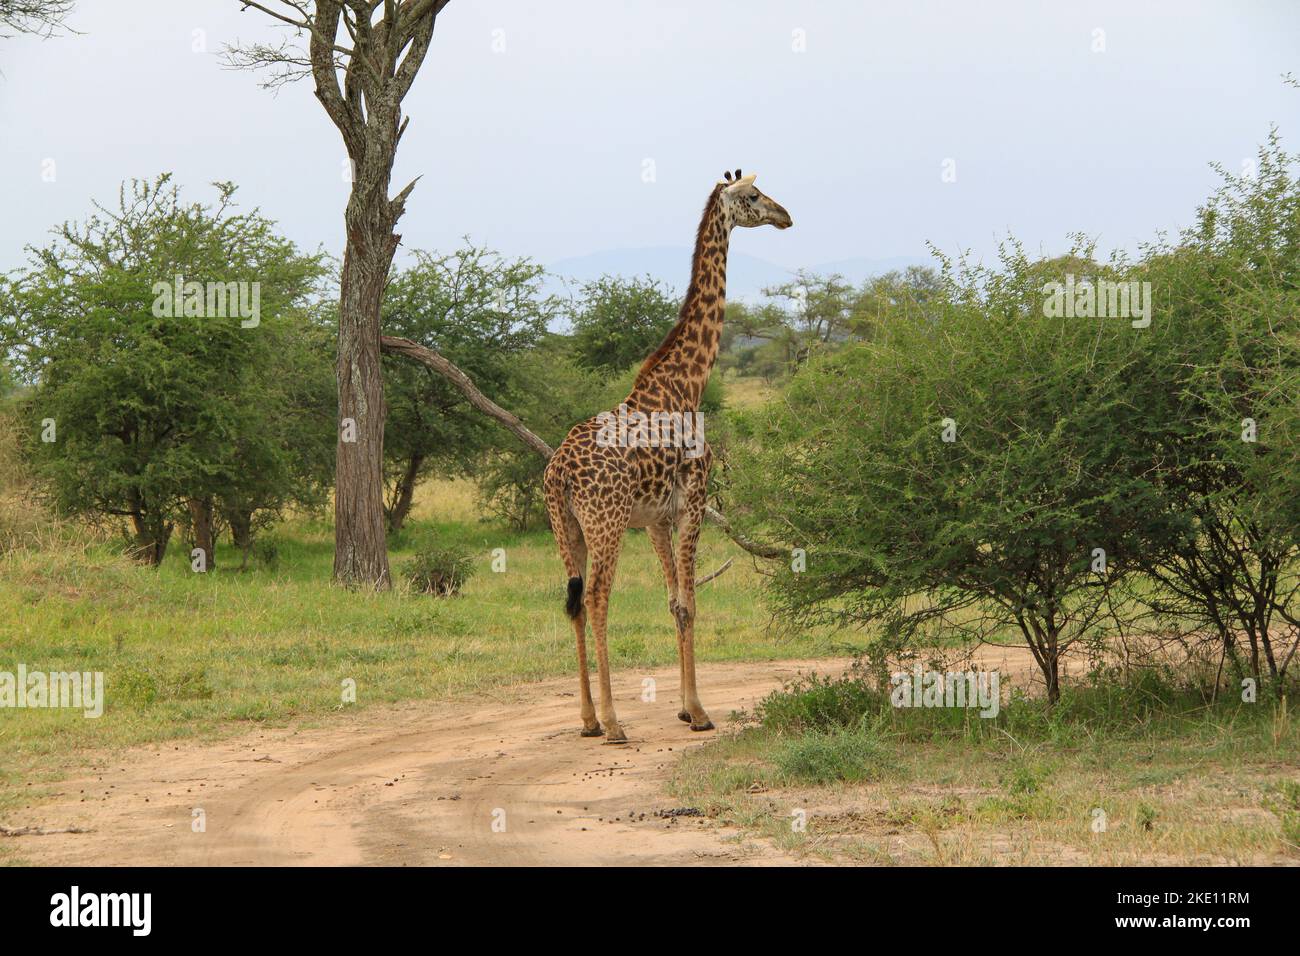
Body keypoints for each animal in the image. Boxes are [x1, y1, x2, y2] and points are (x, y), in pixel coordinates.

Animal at [543, 168, 793, 742]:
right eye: (753, 196)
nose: (785, 216)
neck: (689, 383)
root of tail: (559, 472)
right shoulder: (693, 502)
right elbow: (689, 605)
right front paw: (698, 711)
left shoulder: (656, 519)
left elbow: (673, 600)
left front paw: (682, 707)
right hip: (606, 522)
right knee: (596, 599)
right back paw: (614, 722)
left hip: (565, 527)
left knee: (574, 604)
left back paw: (588, 720)